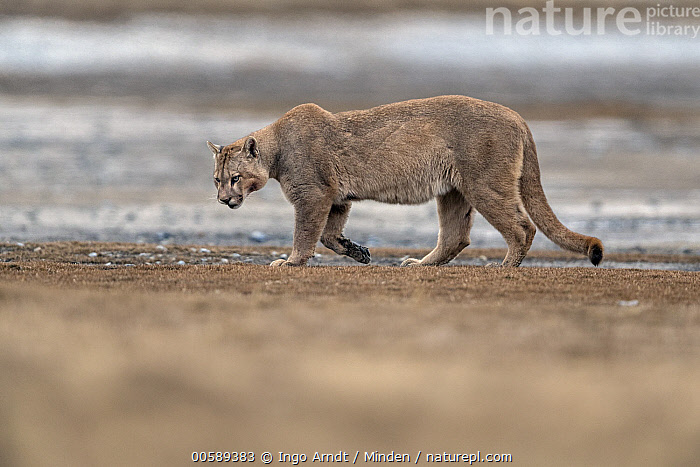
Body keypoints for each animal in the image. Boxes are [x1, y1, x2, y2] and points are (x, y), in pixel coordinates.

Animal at [208, 95, 603, 267]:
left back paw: (504, 266)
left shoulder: (314, 195)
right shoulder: (337, 198)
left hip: (483, 183)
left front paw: (290, 262)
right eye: (216, 180)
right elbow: (328, 235)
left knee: (522, 226)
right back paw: (421, 264)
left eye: (235, 178)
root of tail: (518, 116)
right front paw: (359, 251)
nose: (224, 200)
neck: (276, 147)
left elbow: (305, 234)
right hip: (453, 191)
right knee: (456, 235)